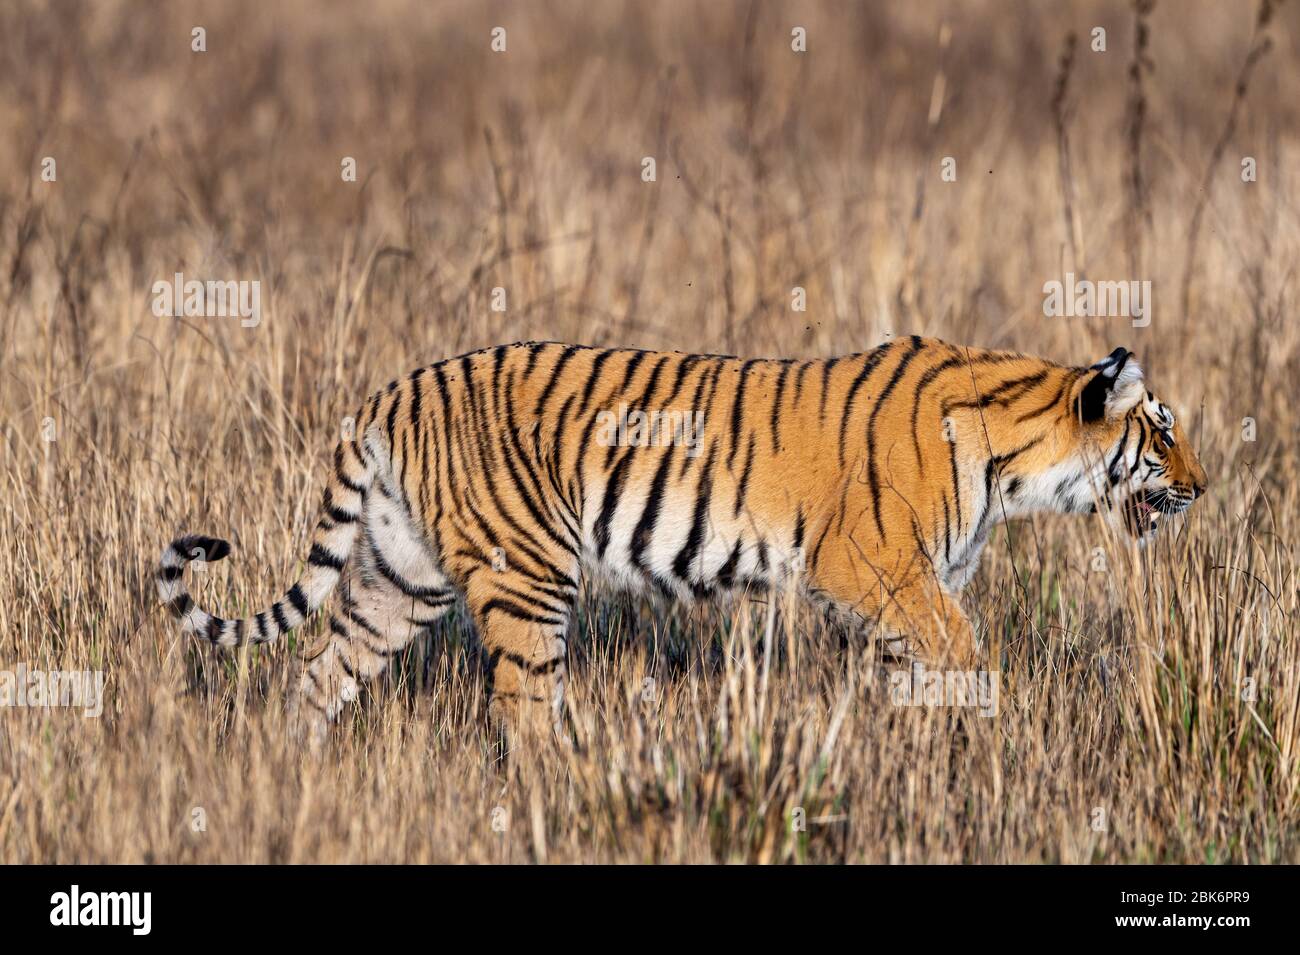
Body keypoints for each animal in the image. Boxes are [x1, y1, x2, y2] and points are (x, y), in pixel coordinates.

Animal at [156, 336, 1208, 743]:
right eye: (1162, 432)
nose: (1203, 488)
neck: (1016, 462)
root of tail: (394, 391)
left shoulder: (901, 589)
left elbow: (918, 667)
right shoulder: (873, 566)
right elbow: (964, 646)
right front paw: (985, 735)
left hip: (399, 577)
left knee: (316, 674)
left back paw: (287, 769)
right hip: (528, 576)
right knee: (523, 710)